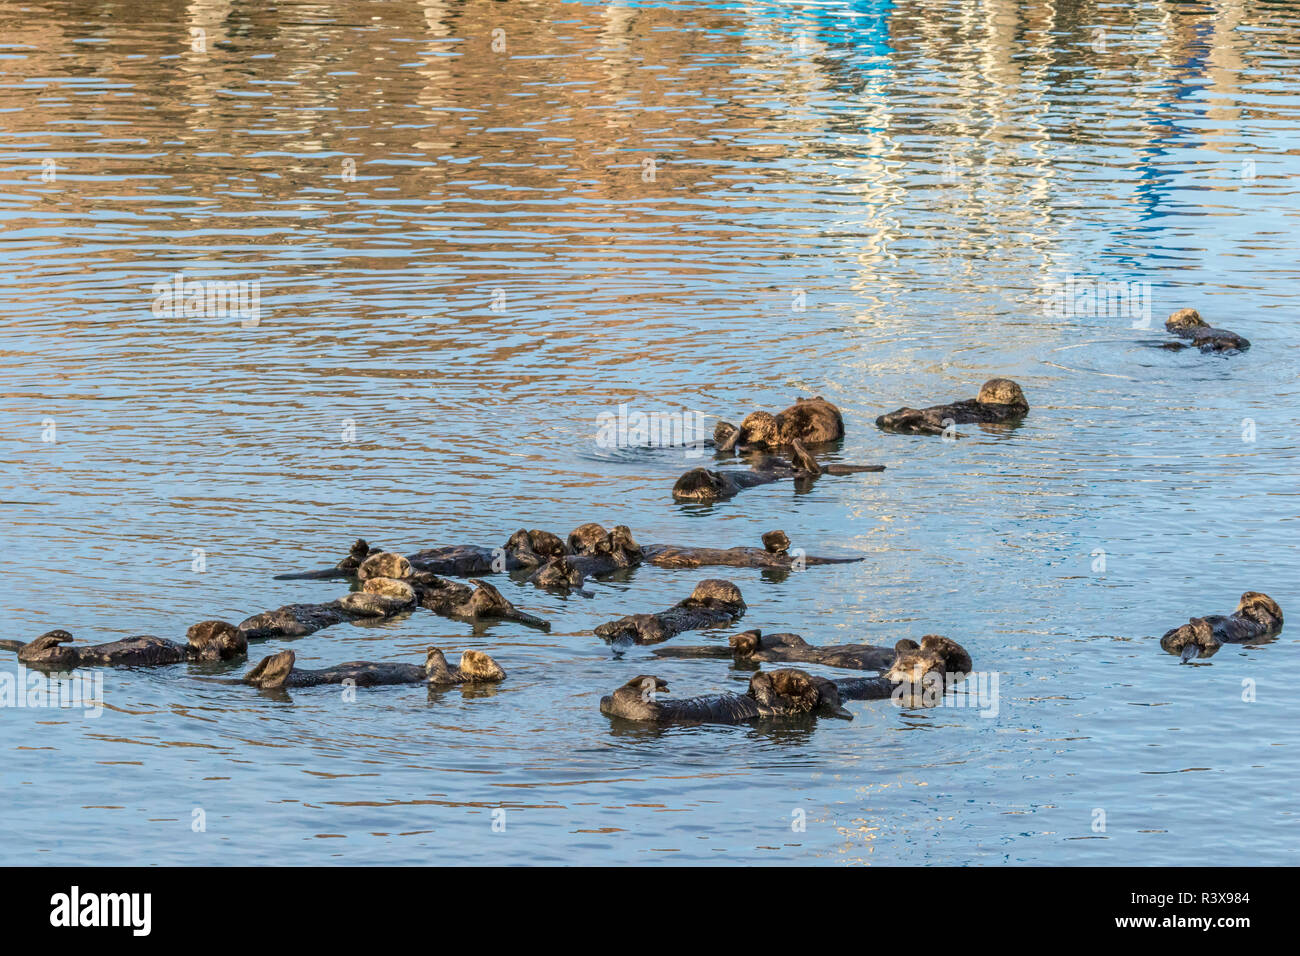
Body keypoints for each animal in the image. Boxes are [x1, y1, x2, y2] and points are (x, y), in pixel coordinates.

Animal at [594, 579, 747, 645]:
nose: (696, 594)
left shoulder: (730, 609)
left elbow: (719, 606)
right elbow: (682, 603)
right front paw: (690, 599)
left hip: (656, 630)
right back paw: (609, 626)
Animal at [673, 440, 884, 502]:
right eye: (705, 476)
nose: (707, 470)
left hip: (768, 462)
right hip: (807, 473)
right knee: (813, 470)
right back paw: (800, 448)